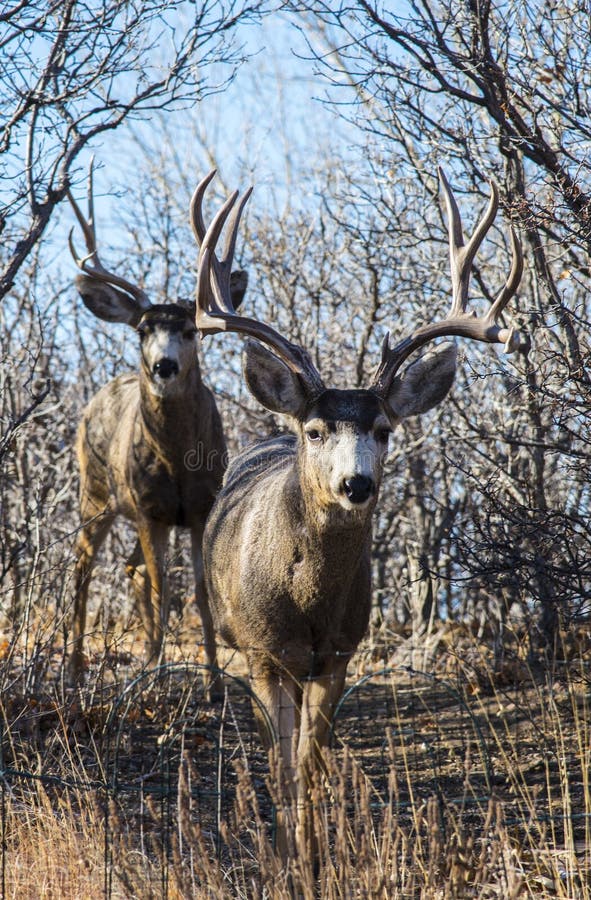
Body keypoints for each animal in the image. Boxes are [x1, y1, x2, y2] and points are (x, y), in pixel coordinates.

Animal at [66, 166, 247, 687]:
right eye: (142, 330)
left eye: (190, 331)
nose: (164, 366)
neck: (178, 462)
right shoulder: (151, 510)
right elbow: (165, 585)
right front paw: (159, 680)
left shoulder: (201, 506)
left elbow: (201, 594)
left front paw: (213, 682)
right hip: (95, 491)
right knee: (84, 567)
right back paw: (76, 668)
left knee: (131, 569)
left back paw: (145, 656)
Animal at [191, 169, 524, 860]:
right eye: (317, 430)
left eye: (383, 428)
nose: (356, 484)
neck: (306, 601)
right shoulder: (264, 653)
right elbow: (284, 763)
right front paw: (288, 857)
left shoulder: (340, 652)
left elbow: (312, 761)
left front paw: (315, 853)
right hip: (236, 642)